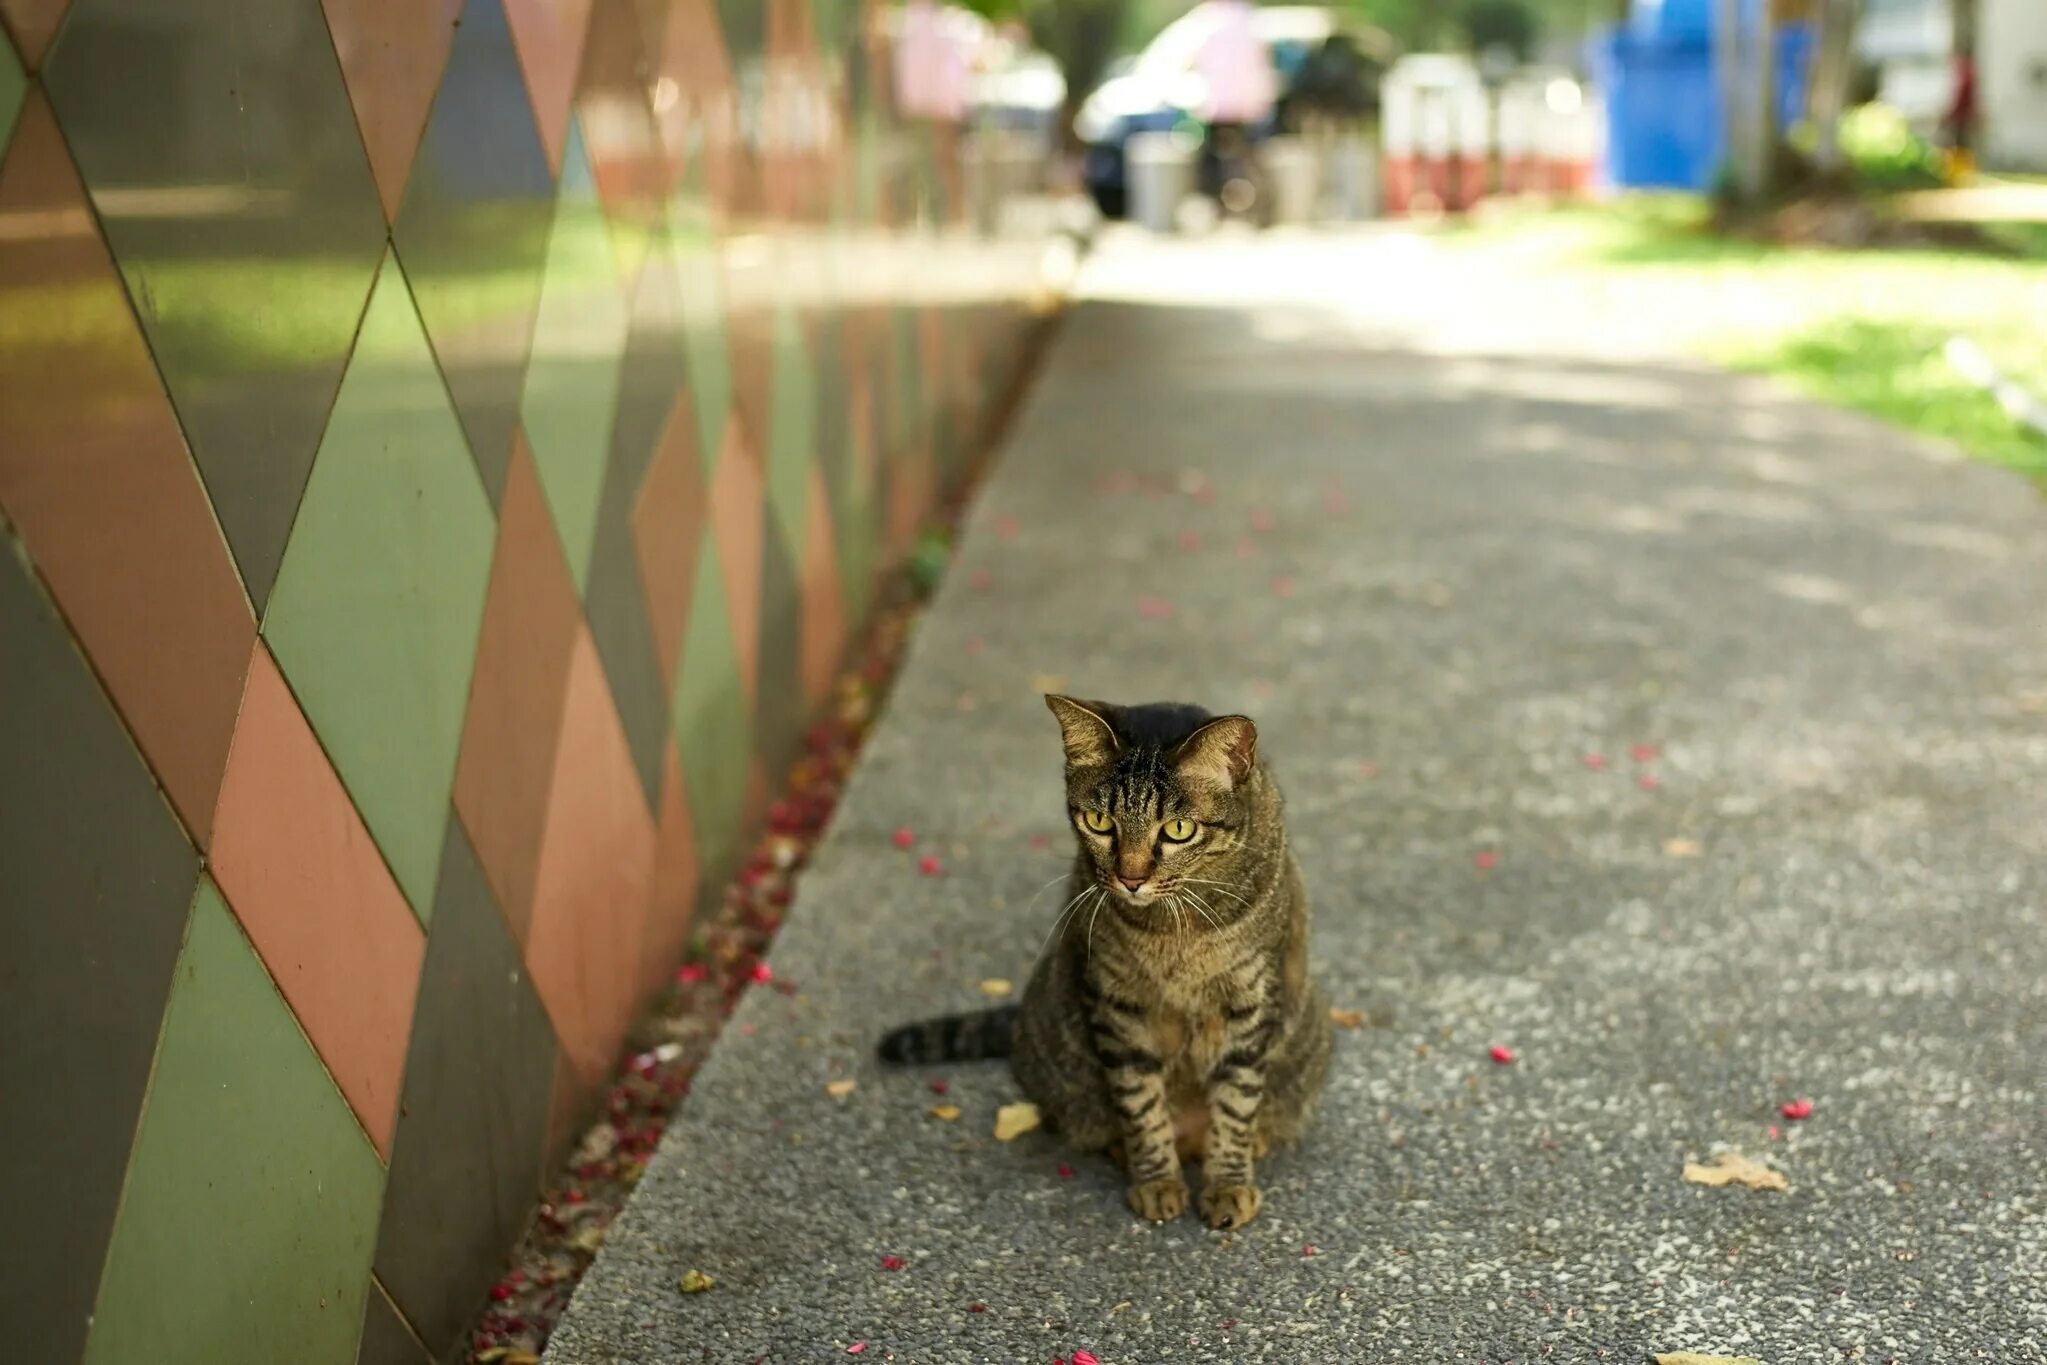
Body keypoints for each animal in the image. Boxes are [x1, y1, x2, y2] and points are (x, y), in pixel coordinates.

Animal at [876, 695, 1326, 1227]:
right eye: (1099, 823)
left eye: (1177, 830)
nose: (1130, 879)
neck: (1174, 931)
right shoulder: (1114, 1002)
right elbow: (1140, 1103)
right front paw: (1156, 1181)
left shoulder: (1251, 1001)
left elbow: (1236, 1103)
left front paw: (1227, 1184)